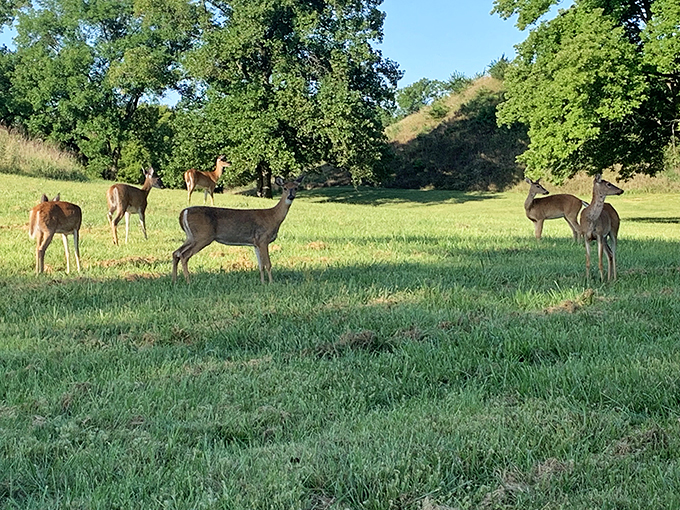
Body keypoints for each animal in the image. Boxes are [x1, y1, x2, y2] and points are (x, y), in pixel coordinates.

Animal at [172, 174, 304, 284]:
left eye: (296, 188)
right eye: (285, 188)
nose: (291, 196)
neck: (273, 217)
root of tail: (184, 212)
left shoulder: (255, 243)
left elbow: (260, 265)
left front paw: (262, 283)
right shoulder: (263, 239)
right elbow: (268, 264)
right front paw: (271, 283)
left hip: (191, 237)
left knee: (176, 253)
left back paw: (174, 280)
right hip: (202, 236)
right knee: (184, 255)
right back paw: (188, 281)